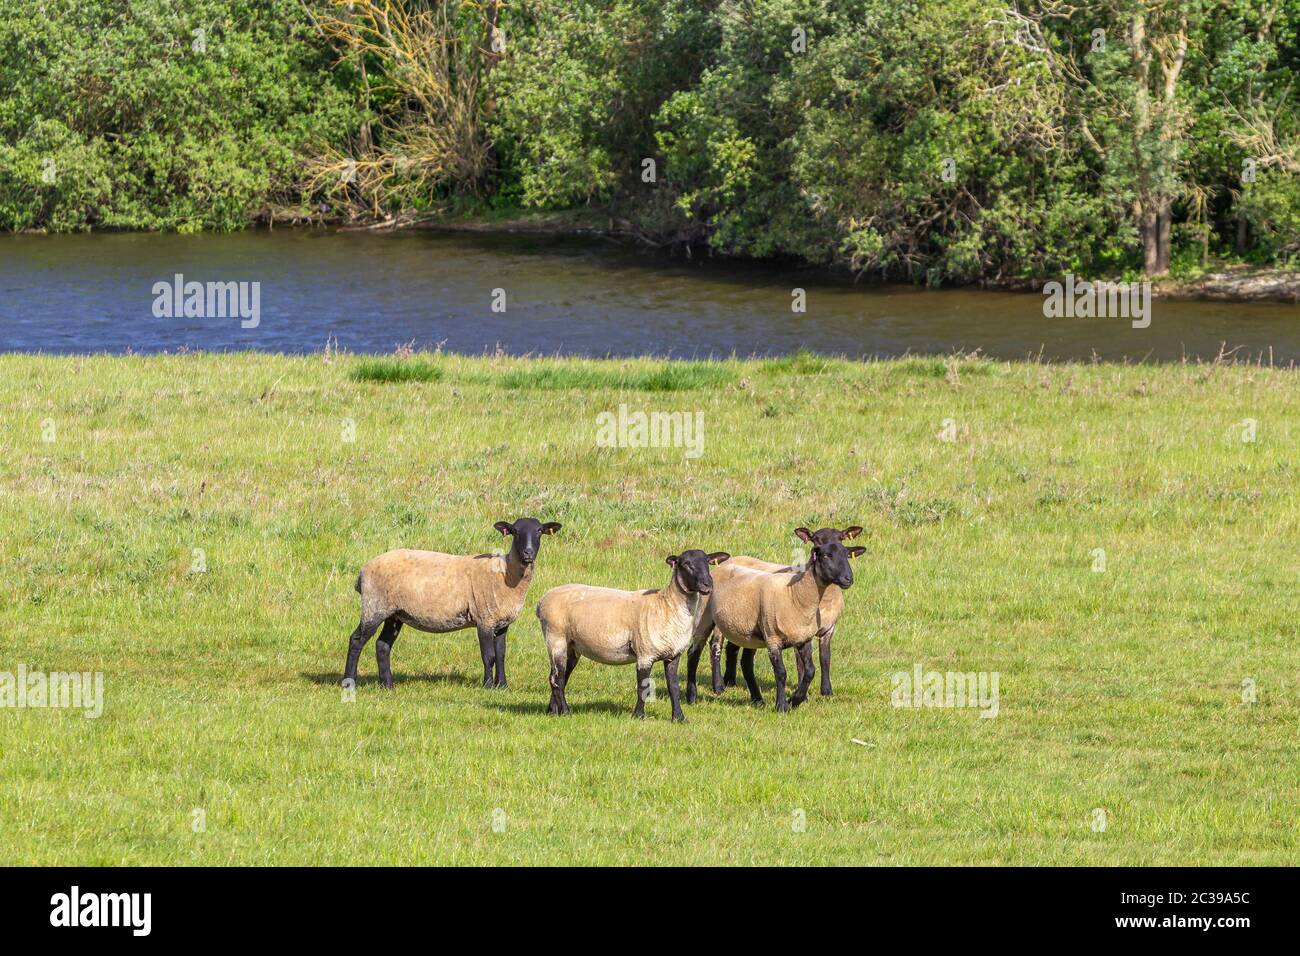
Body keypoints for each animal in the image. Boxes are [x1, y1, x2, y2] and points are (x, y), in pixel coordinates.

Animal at [343, 517, 561, 690]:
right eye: (515, 532)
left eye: (539, 531)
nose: (528, 553)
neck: (505, 573)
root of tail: (362, 571)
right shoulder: (484, 619)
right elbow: (488, 656)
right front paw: (489, 686)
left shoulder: (501, 623)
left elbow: (501, 655)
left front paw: (503, 686)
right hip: (374, 605)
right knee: (356, 640)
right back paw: (349, 681)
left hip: (394, 612)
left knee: (382, 645)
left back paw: (387, 685)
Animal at [536, 549, 730, 721]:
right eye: (687, 564)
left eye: (707, 562)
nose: (707, 585)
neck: (666, 604)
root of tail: (542, 600)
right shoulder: (645, 654)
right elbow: (643, 687)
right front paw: (638, 716)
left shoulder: (673, 655)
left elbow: (673, 687)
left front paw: (679, 718)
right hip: (555, 637)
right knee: (557, 679)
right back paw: (566, 712)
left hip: (571, 645)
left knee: (558, 677)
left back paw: (553, 711)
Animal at [685, 528, 863, 711]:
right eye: (825, 554)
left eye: (846, 551)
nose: (848, 578)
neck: (796, 594)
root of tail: (726, 563)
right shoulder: (773, 639)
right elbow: (782, 672)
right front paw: (783, 705)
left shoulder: (809, 635)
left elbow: (815, 667)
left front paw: (799, 698)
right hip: (706, 619)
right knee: (700, 651)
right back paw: (703, 692)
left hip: (746, 630)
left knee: (743, 660)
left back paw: (753, 696)